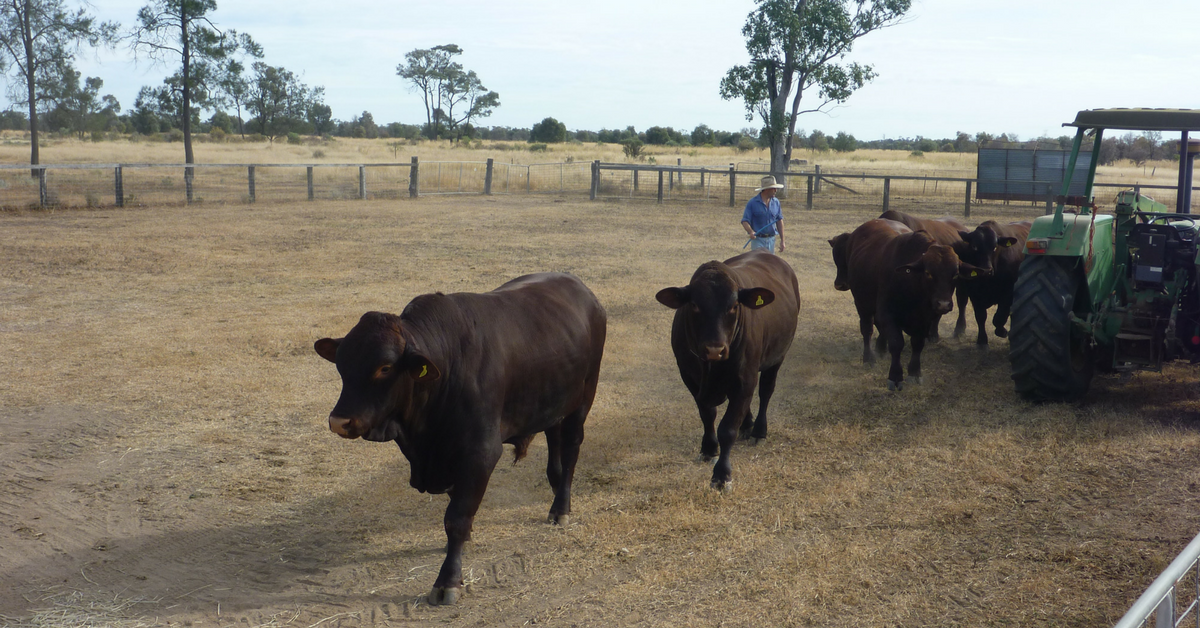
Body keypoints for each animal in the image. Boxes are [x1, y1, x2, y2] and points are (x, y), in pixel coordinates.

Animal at [313, 273, 606, 606]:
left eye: (384, 367)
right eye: (341, 364)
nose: (339, 421)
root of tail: (580, 287)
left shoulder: (480, 454)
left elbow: (456, 518)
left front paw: (448, 580)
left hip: (583, 400)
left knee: (570, 450)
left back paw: (561, 508)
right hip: (554, 401)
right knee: (554, 443)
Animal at [655, 250, 800, 491]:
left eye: (734, 306)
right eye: (694, 304)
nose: (715, 349)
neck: (710, 368)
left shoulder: (745, 379)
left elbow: (727, 429)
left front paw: (722, 475)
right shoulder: (689, 378)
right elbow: (707, 415)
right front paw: (708, 449)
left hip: (778, 356)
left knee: (766, 392)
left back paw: (759, 431)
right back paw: (747, 425)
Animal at [843, 223, 982, 390]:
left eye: (955, 274)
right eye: (928, 273)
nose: (943, 304)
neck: (912, 285)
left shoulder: (924, 320)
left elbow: (918, 344)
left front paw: (915, 373)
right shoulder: (887, 315)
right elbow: (896, 343)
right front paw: (895, 377)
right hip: (862, 304)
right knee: (867, 330)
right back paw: (869, 358)